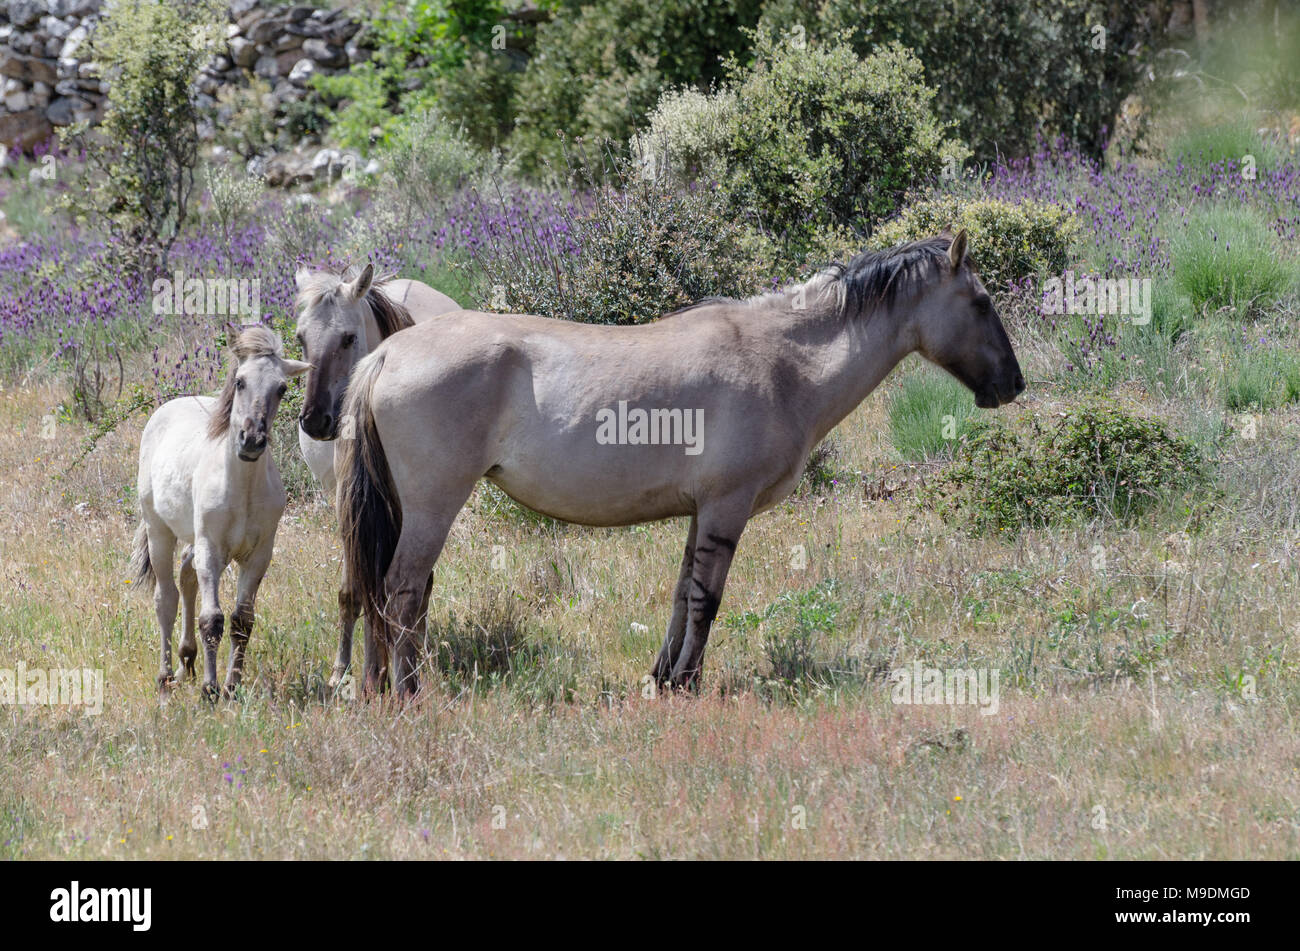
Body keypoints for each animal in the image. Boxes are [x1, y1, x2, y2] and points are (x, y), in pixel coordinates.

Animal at [131, 326, 309, 698]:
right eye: (240, 381)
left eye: (282, 388)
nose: (251, 440)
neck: (242, 487)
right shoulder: (211, 550)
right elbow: (212, 619)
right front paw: (210, 691)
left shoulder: (257, 556)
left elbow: (242, 620)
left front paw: (230, 686)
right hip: (160, 532)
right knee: (165, 598)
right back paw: (165, 678)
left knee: (186, 577)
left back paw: (187, 662)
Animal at [291, 263, 460, 690]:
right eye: (300, 338)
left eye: (348, 338)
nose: (315, 421)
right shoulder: (346, 503)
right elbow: (355, 590)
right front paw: (345, 671)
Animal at [336, 231, 1025, 696]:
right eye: (982, 301)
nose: (1013, 385)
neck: (780, 361)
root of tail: (387, 355)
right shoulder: (726, 507)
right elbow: (705, 600)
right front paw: (688, 683)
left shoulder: (702, 513)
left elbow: (679, 594)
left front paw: (663, 679)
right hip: (433, 506)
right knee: (401, 589)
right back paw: (408, 692)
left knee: (383, 590)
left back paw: (376, 687)